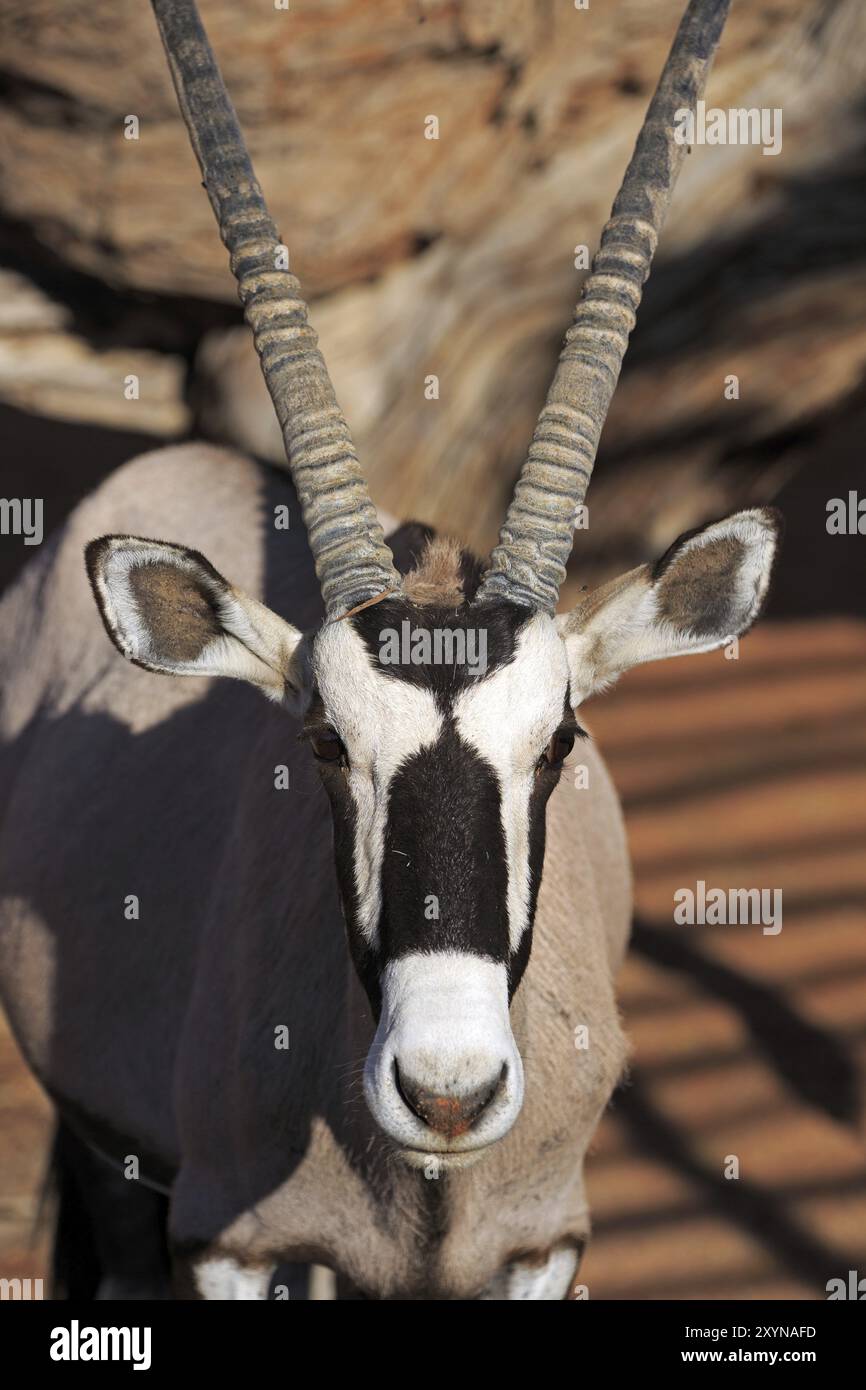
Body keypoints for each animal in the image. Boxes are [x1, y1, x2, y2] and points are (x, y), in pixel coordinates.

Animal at [0, 0, 779, 1300]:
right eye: (322, 739)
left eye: (559, 741)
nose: (446, 1091)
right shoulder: (231, 1239)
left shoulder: (540, 1241)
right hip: (110, 1153)